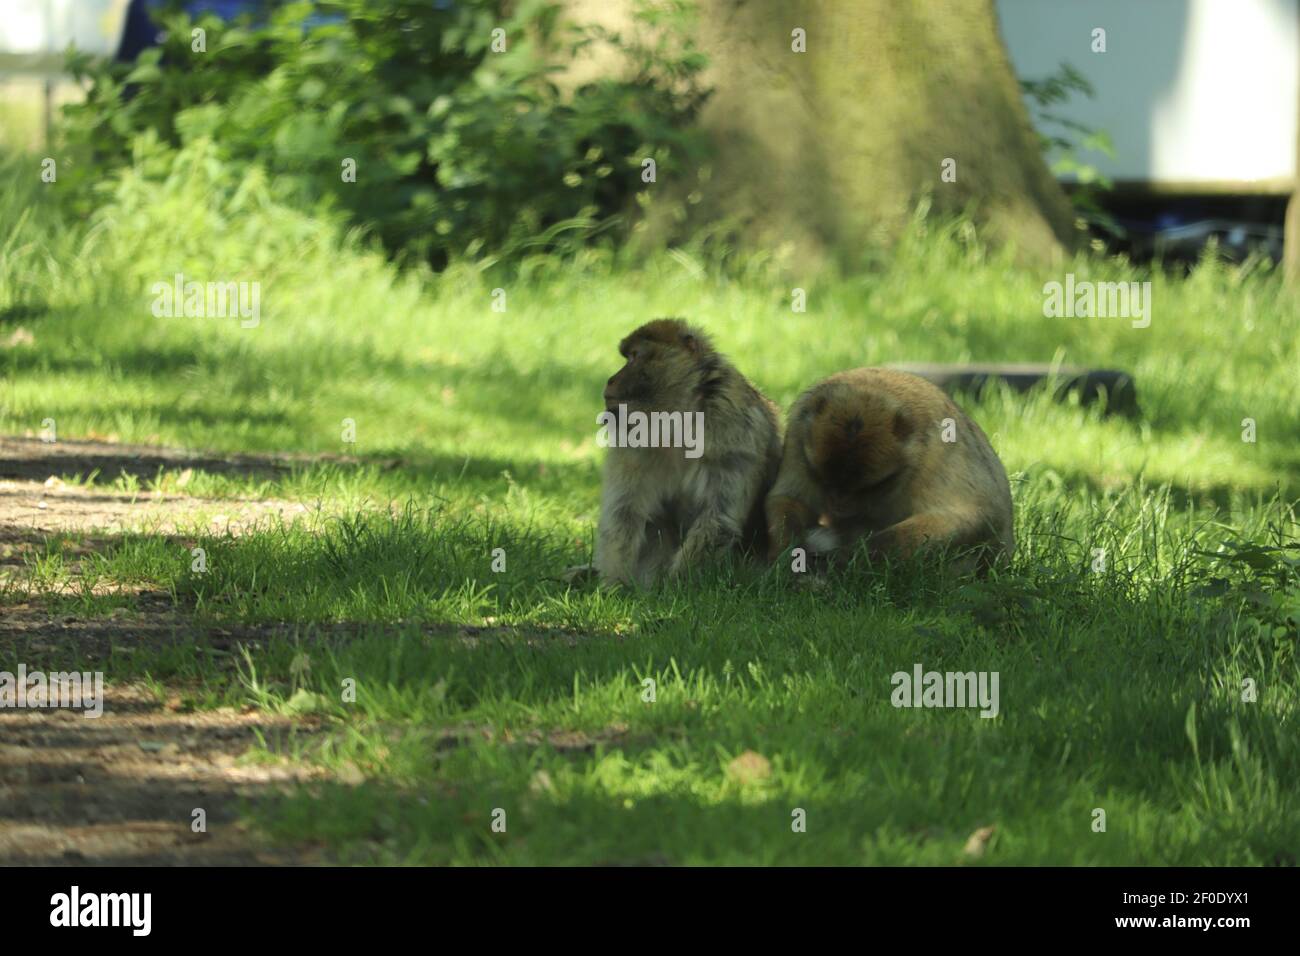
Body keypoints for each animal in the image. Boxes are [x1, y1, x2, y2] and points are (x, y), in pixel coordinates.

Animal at [592, 318, 782, 587]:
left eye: (634, 357)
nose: (610, 379)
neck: (676, 423)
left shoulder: (733, 430)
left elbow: (718, 518)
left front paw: (676, 587)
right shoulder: (629, 443)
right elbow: (624, 513)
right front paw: (615, 586)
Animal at [765, 368, 1014, 573]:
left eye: (869, 487)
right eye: (825, 480)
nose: (839, 503)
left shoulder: (938, 451)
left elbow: (973, 517)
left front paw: (852, 555)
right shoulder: (799, 431)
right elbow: (791, 498)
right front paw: (793, 550)